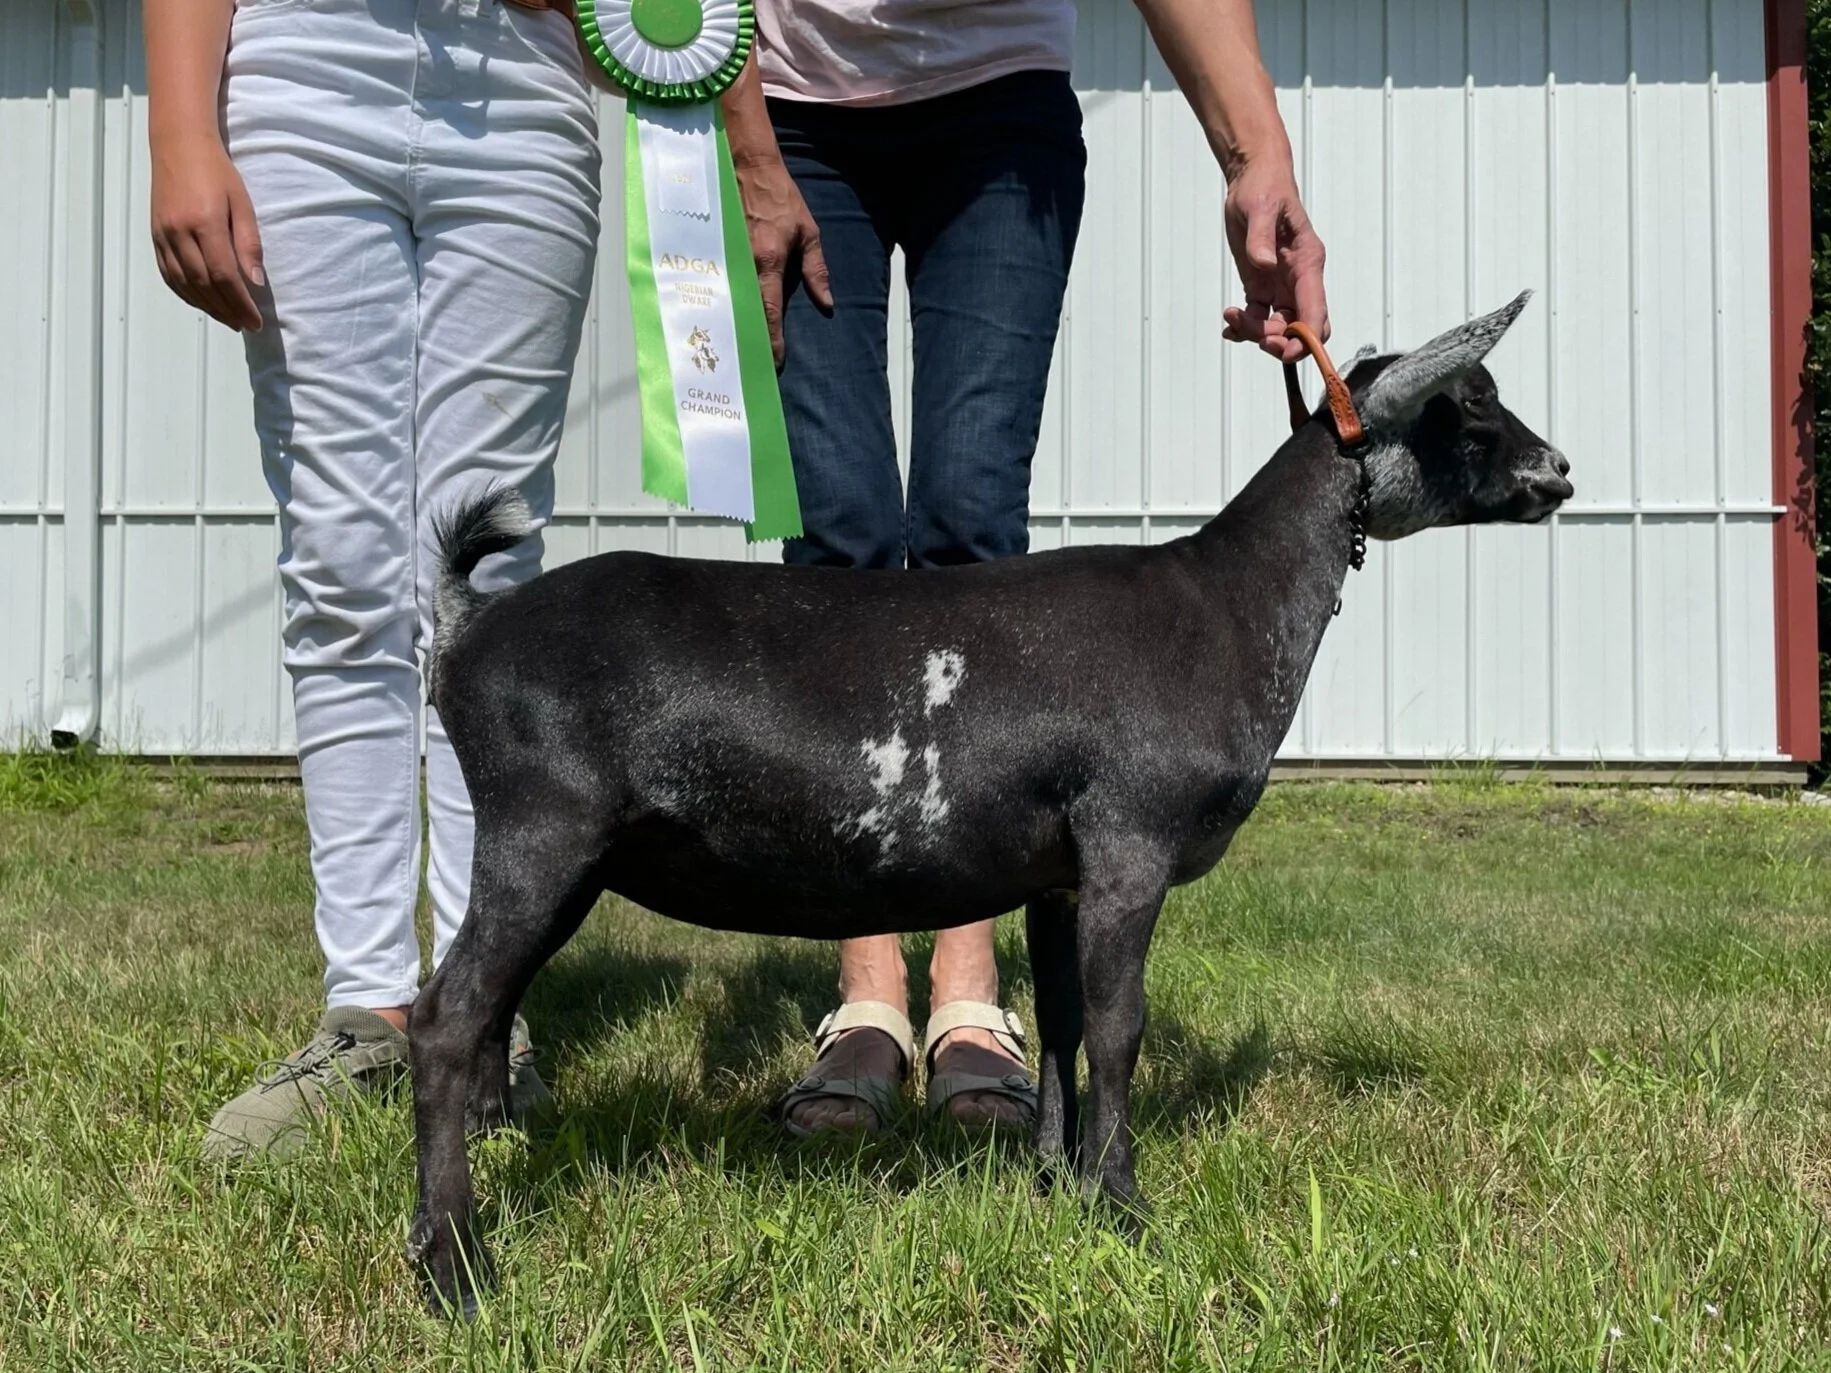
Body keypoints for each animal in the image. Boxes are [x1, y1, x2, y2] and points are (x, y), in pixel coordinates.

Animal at [406, 292, 1572, 1314]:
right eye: (1466, 403)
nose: (1558, 470)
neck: (1227, 603)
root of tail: (468, 627)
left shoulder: (1059, 871)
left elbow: (1059, 1017)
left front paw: (1055, 1180)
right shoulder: (1127, 841)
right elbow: (1117, 1024)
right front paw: (1124, 1206)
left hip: (564, 850)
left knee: (487, 1008)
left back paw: (485, 1171)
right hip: (541, 823)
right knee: (444, 1014)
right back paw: (456, 1265)